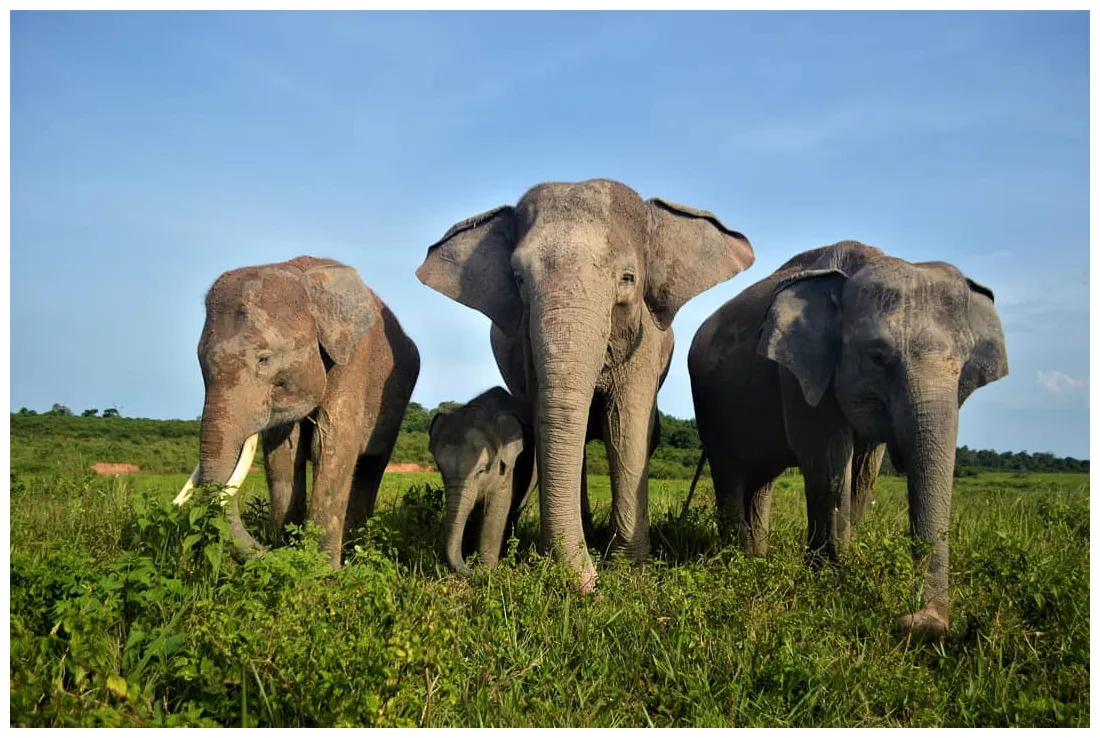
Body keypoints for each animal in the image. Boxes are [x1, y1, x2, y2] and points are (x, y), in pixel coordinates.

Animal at [174, 256, 421, 569]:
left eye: (264, 359)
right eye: (200, 362)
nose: (269, 552)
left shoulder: (354, 357)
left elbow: (331, 445)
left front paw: (323, 571)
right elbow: (284, 452)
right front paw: (291, 555)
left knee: (371, 467)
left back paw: (355, 551)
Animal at [416, 178, 755, 591]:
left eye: (628, 278)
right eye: (519, 279)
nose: (592, 585)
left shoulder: (644, 341)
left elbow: (625, 427)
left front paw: (627, 567)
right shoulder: (527, 348)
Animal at [688, 241, 1008, 638]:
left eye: (963, 367)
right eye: (878, 357)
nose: (921, 622)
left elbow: (865, 470)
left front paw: (843, 569)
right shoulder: (799, 373)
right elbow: (827, 458)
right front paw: (828, 580)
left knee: (761, 483)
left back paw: (757, 558)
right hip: (711, 408)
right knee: (730, 475)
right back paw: (739, 562)